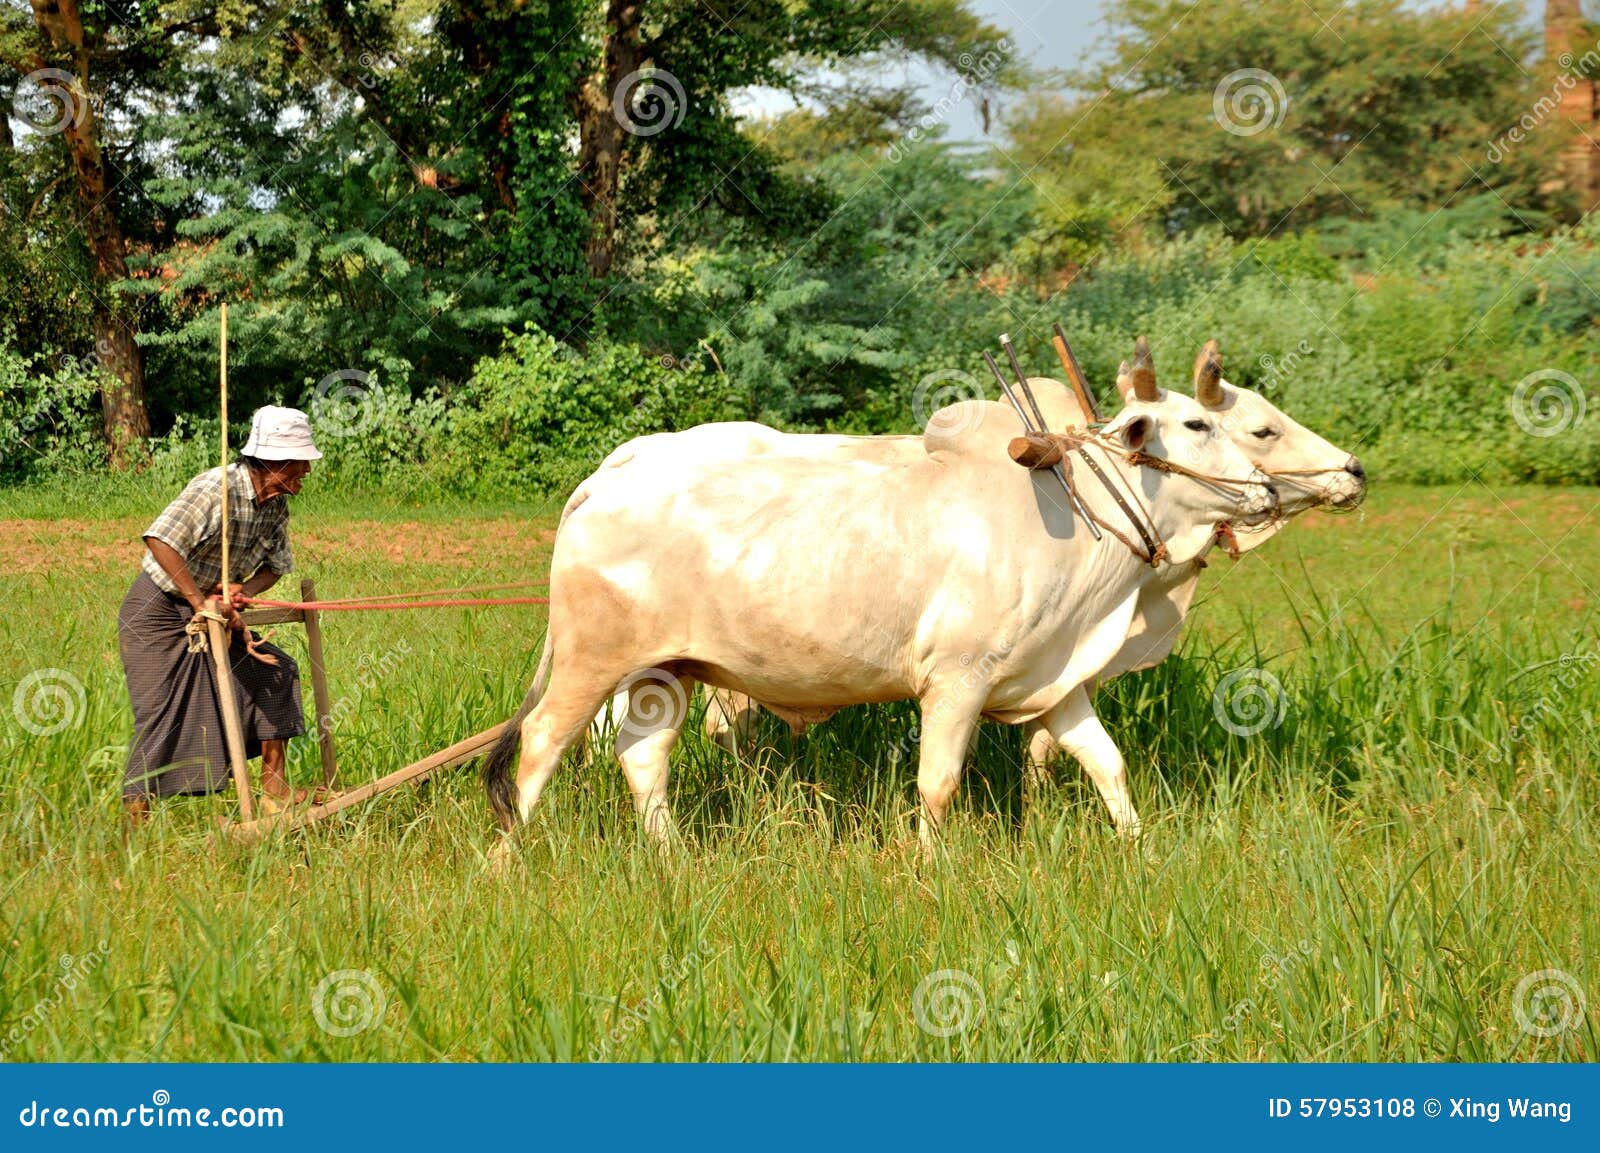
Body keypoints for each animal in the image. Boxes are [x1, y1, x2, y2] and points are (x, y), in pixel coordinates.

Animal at [483, 344, 1277, 848]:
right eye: (1197, 424)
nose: (1267, 492)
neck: (1074, 516)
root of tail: (604, 477)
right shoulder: (957, 682)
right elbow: (938, 785)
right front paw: (929, 866)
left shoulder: (1054, 682)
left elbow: (1108, 764)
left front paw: (1139, 851)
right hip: (592, 659)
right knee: (540, 745)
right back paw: (509, 860)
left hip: (665, 669)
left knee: (643, 754)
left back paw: (670, 858)